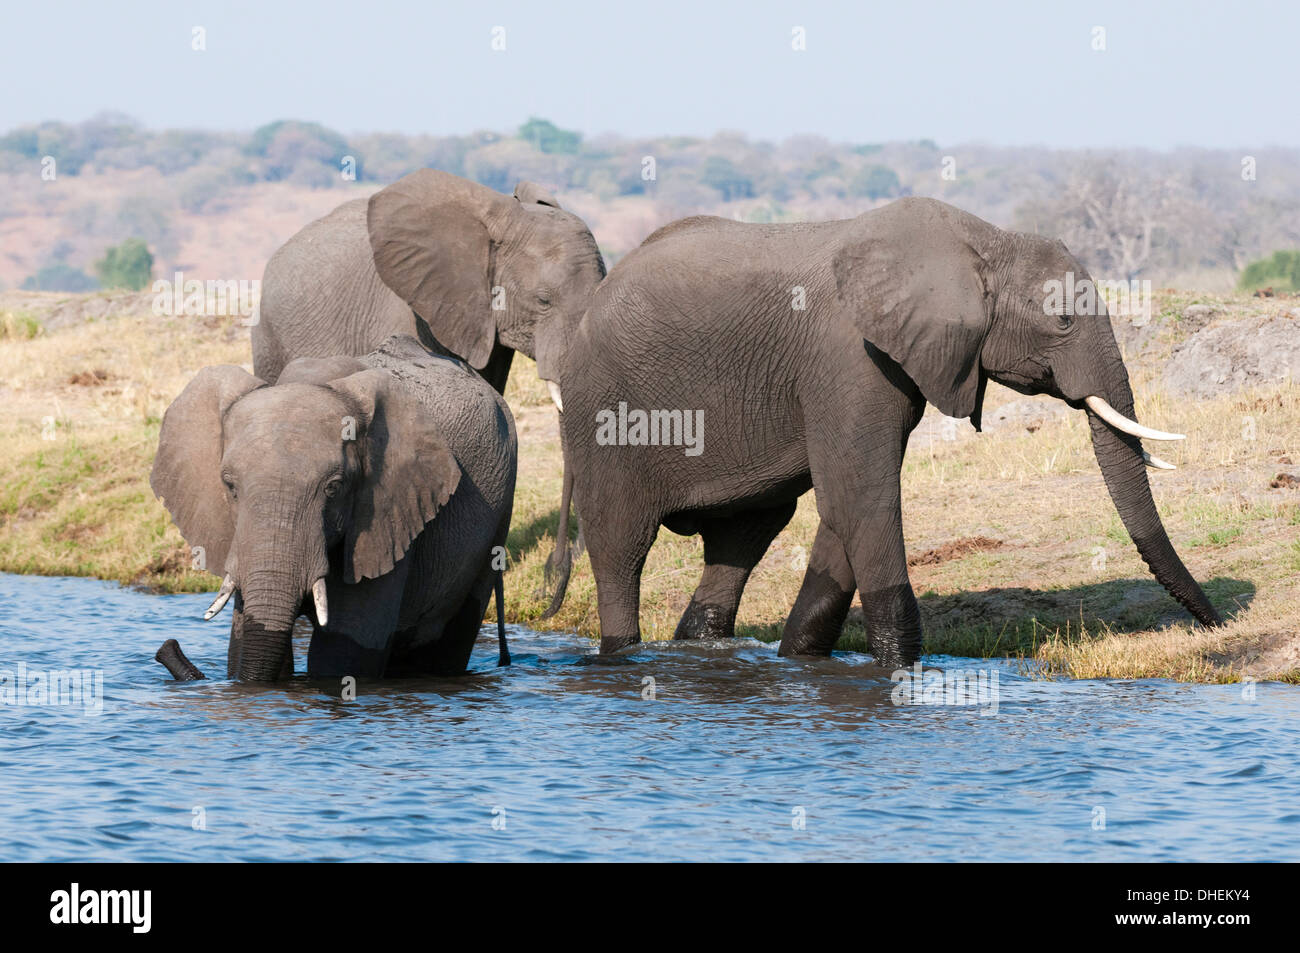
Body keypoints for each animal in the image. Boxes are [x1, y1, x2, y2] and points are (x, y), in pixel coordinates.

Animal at [150, 335, 517, 681]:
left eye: (334, 487)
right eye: (229, 485)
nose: (168, 647)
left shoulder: (388, 514)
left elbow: (342, 654)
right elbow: (244, 645)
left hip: (500, 508)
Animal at [544, 197, 1223, 667]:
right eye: (1061, 320)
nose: (1217, 624)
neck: (984, 242)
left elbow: (847, 506)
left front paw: (800, 659)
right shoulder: (848, 358)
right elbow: (862, 499)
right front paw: (900, 670)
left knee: (742, 539)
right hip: (604, 414)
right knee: (620, 547)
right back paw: (622, 656)